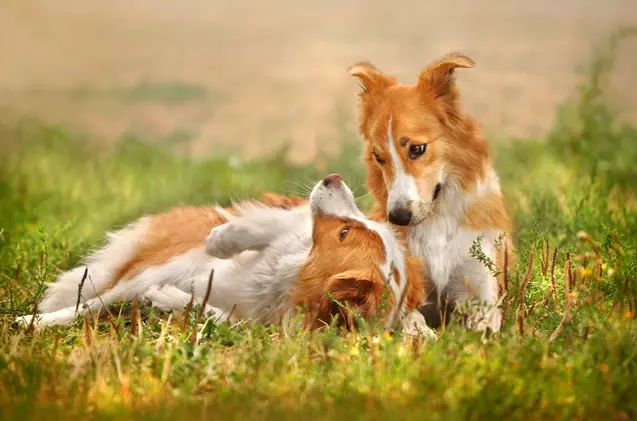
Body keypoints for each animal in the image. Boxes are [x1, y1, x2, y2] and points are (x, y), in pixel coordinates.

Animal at [18, 172, 438, 336]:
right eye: (355, 228)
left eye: (344, 232)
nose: (332, 177)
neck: (284, 281)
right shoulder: (288, 226)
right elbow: (270, 226)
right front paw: (223, 239)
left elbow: (224, 320)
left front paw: (173, 301)